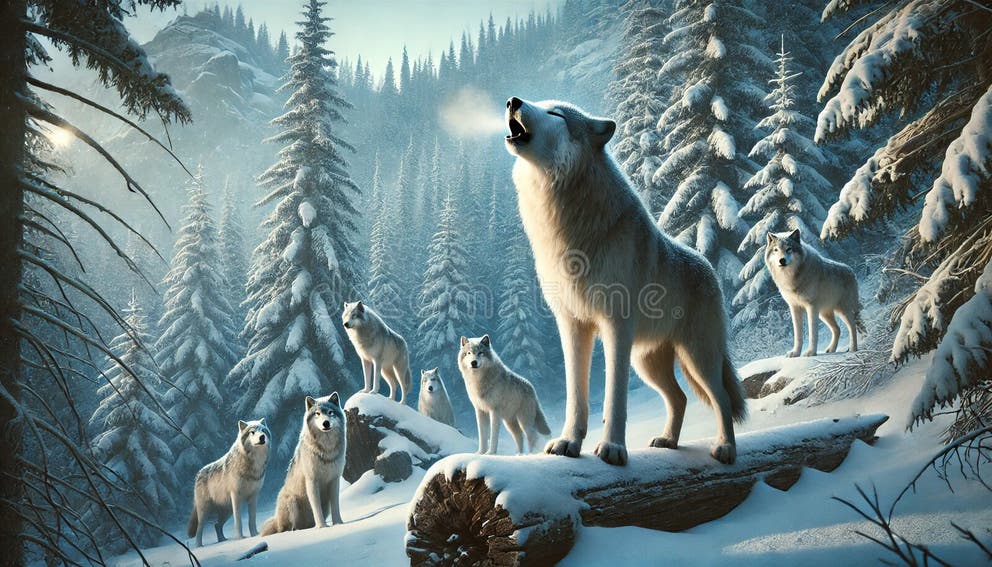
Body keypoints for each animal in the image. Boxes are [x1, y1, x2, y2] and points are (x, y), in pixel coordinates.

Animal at [187, 419, 270, 547]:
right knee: (199, 530)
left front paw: (255, 535)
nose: (262, 437)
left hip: (226, 512)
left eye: (263, 430)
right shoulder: (236, 495)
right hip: (204, 511)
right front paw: (240, 538)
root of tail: (198, 474)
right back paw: (199, 546)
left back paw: (222, 540)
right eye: (252, 432)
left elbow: (252, 519)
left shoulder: (254, 496)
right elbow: (238, 520)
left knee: (217, 525)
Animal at [260, 394, 346, 535]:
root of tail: (276, 520)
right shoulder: (311, 481)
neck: (326, 450)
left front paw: (339, 524)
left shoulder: (334, 480)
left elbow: (336, 506)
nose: (325, 423)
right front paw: (322, 527)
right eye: (317, 414)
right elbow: (316, 507)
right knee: (288, 529)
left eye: (330, 412)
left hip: (325, 504)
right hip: (292, 501)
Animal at [504, 96, 747, 466]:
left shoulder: (616, 325)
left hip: (697, 356)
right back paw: (668, 440)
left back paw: (726, 448)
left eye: (554, 114)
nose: (512, 101)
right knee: (680, 398)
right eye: (541, 105)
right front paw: (569, 443)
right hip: (647, 363)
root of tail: (709, 268)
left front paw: (613, 448)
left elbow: (614, 398)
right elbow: (576, 397)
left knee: (720, 397)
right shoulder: (572, 325)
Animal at [765, 229, 862, 357]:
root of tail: (851, 271)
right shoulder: (794, 307)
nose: (782, 260)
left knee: (852, 326)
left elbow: (812, 333)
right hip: (824, 314)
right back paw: (831, 349)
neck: (792, 278)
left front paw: (811, 352)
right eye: (776, 250)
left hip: (842, 311)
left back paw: (853, 348)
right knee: (837, 329)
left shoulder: (811, 307)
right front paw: (795, 353)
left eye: (789, 249)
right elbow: (798, 335)